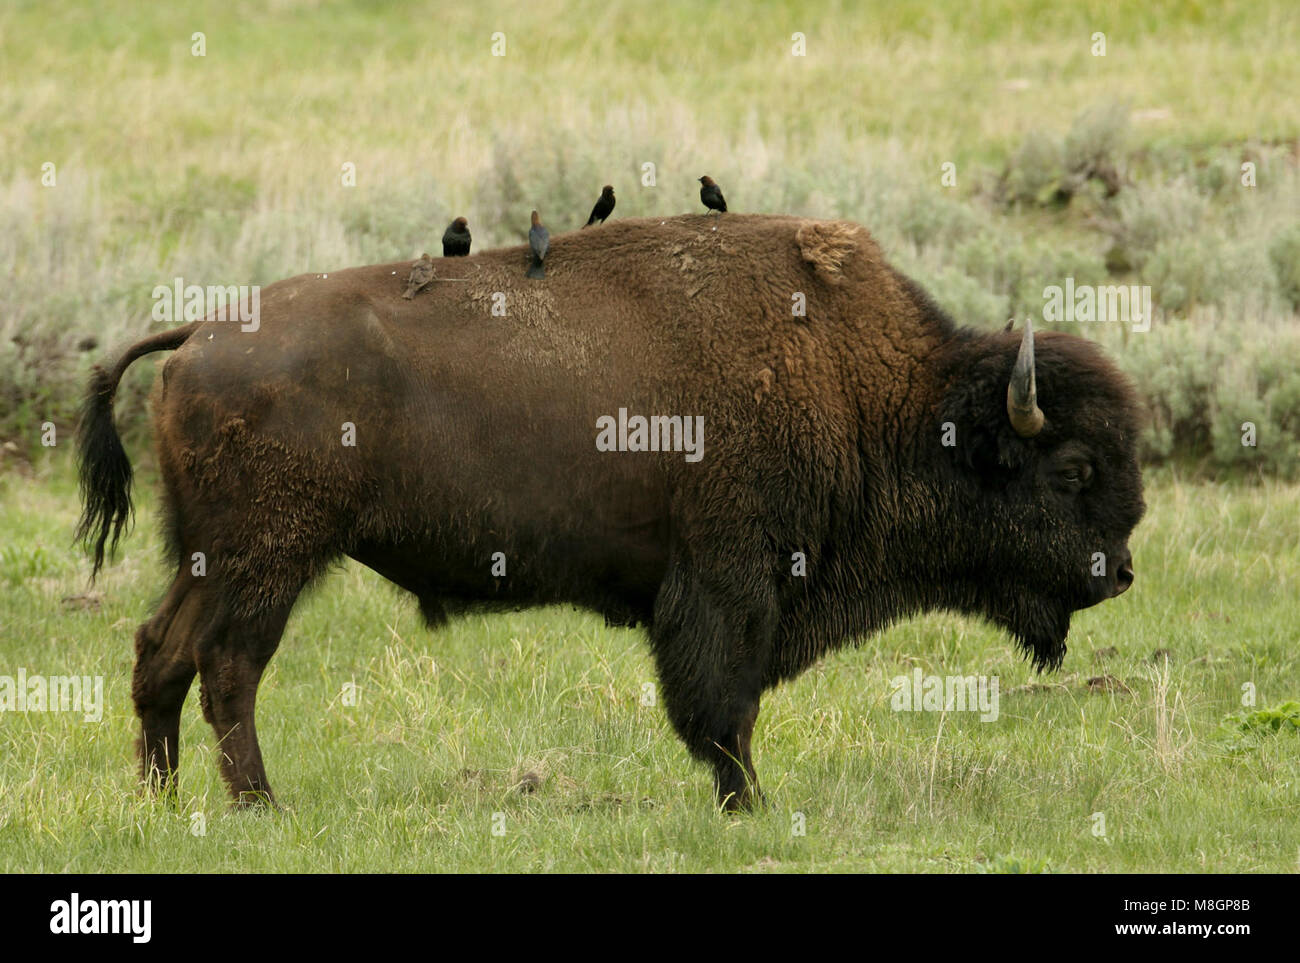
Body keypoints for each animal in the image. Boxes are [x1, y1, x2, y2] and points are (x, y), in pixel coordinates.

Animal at [76, 214, 1145, 811]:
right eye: (1073, 469)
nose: (1123, 571)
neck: (870, 392)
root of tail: (198, 333)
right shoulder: (729, 584)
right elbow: (723, 707)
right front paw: (749, 805)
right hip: (269, 560)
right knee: (228, 669)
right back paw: (261, 806)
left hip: (211, 560)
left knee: (160, 652)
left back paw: (163, 801)